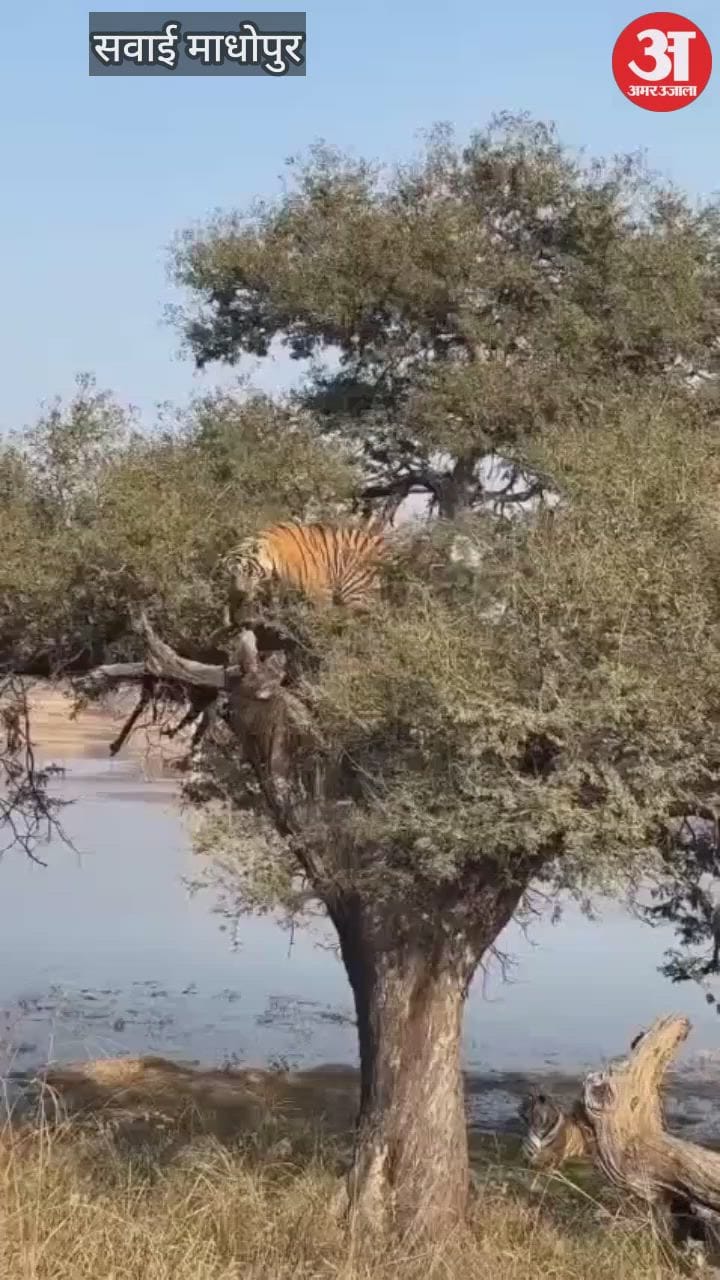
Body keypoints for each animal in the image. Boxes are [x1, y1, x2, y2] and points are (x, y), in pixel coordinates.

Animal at [220, 520, 389, 625]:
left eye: (247, 571)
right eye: (230, 576)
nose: (240, 593)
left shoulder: (320, 592)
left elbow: (322, 615)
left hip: (353, 586)